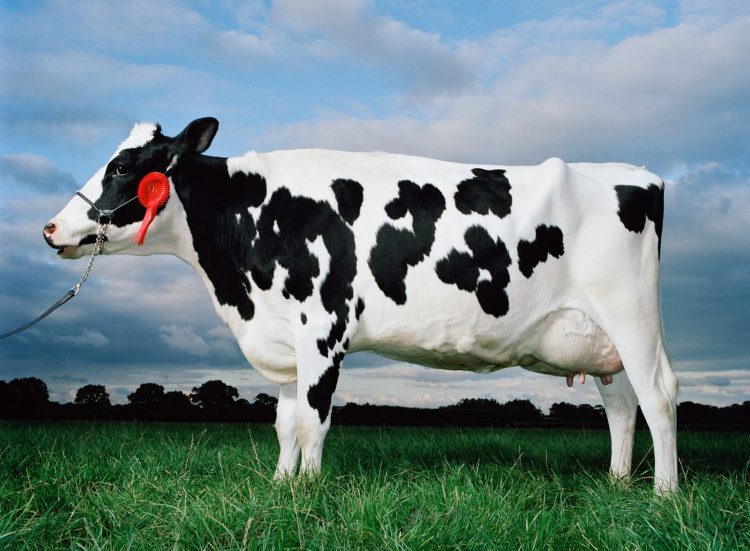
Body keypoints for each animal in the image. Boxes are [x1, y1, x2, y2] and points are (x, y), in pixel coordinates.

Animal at [44, 117, 679, 493]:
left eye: (123, 166)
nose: (51, 228)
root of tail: (637, 175)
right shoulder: (285, 339)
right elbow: (283, 423)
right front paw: (282, 487)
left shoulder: (323, 329)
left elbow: (311, 422)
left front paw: (308, 492)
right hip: (596, 338)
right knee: (622, 406)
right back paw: (618, 482)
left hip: (632, 315)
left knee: (658, 395)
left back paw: (663, 493)